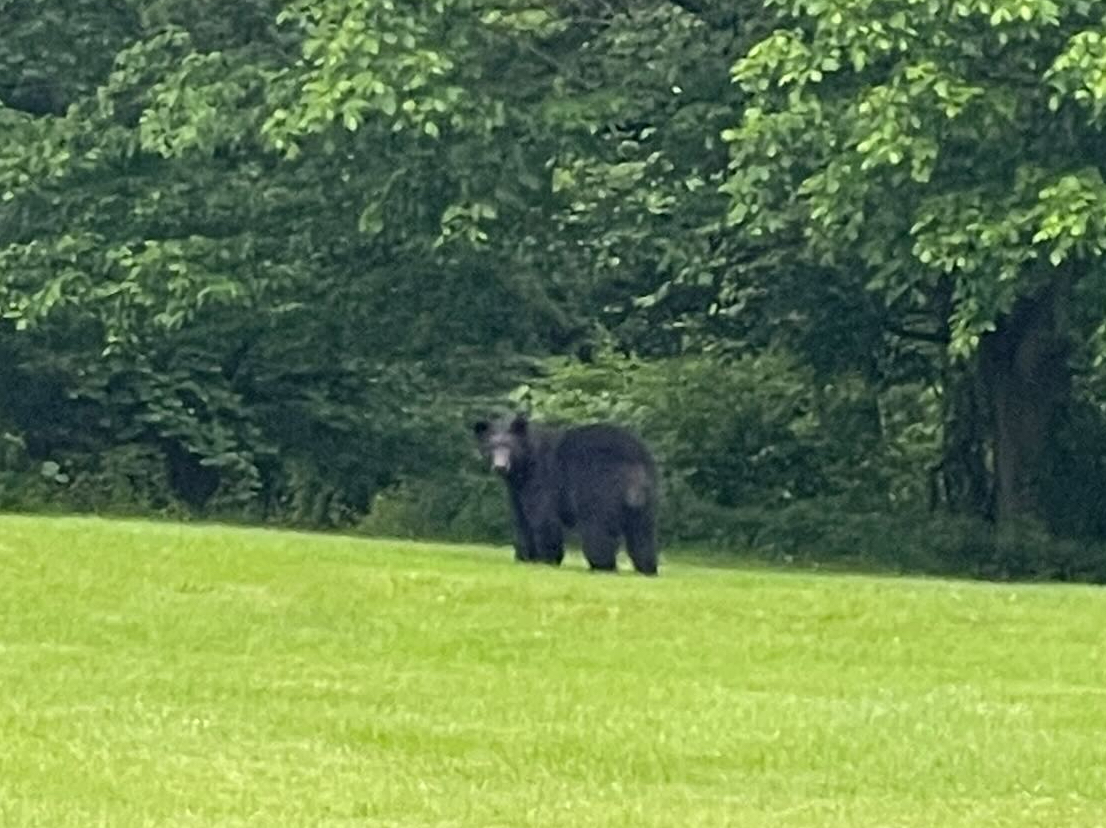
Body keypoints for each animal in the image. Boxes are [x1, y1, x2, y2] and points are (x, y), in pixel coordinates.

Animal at [472, 413, 659, 576]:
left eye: (509, 446)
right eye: (492, 447)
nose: (500, 466)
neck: (525, 467)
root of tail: (634, 463)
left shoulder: (541, 479)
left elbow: (542, 518)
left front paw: (547, 559)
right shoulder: (517, 491)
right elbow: (521, 520)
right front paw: (524, 557)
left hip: (598, 489)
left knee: (598, 529)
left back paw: (601, 566)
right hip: (646, 498)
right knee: (642, 533)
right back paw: (647, 568)